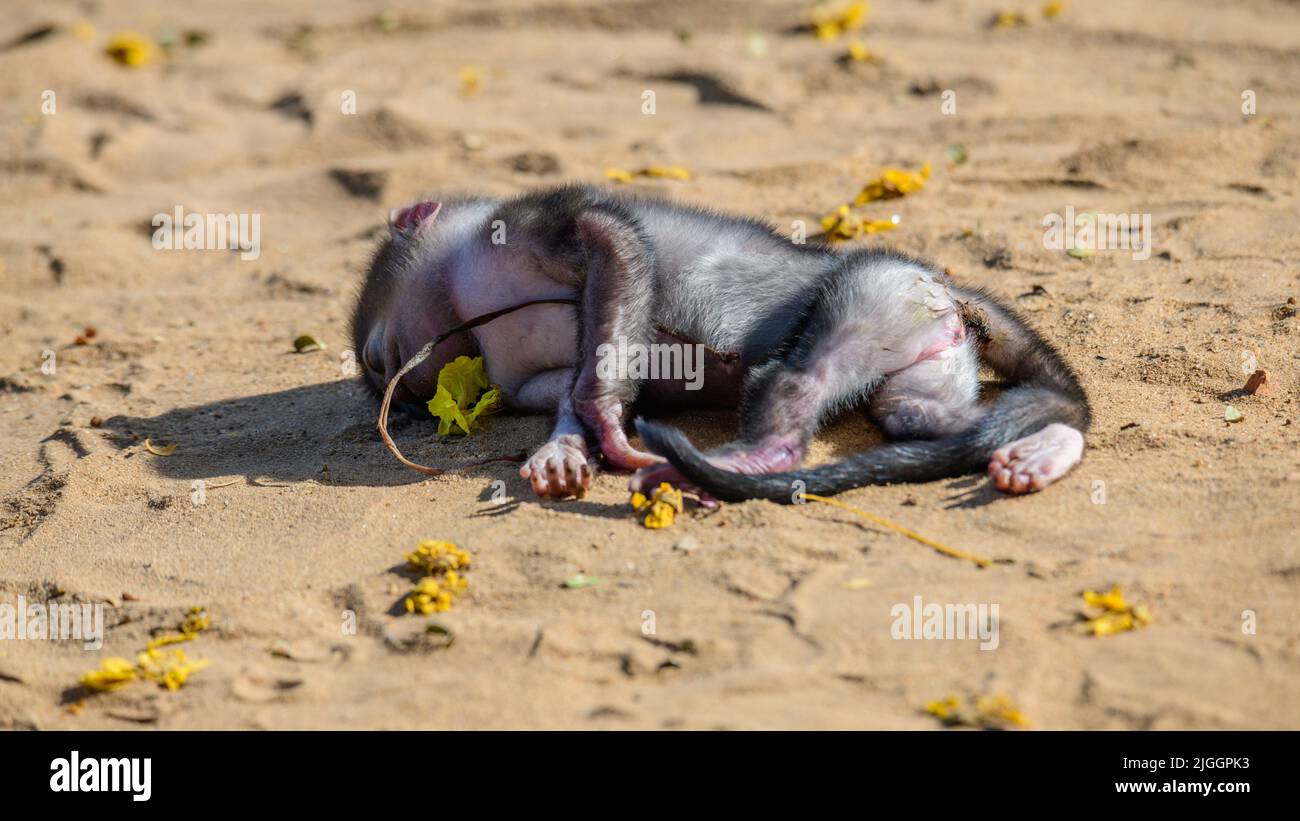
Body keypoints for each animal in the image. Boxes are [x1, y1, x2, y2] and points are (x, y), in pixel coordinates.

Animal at [350, 183, 1090, 503]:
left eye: (378, 359)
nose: (403, 405)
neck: (473, 311)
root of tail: (937, 280)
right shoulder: (518, 375)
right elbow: (581, 378)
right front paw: (563, 449)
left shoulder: (527, 223)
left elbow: (614, 243)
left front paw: (601, 427)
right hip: (927, 347)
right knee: (925, 414)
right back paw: (1045, 446)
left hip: (873, 293)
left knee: (797, 388)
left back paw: (729, 462)